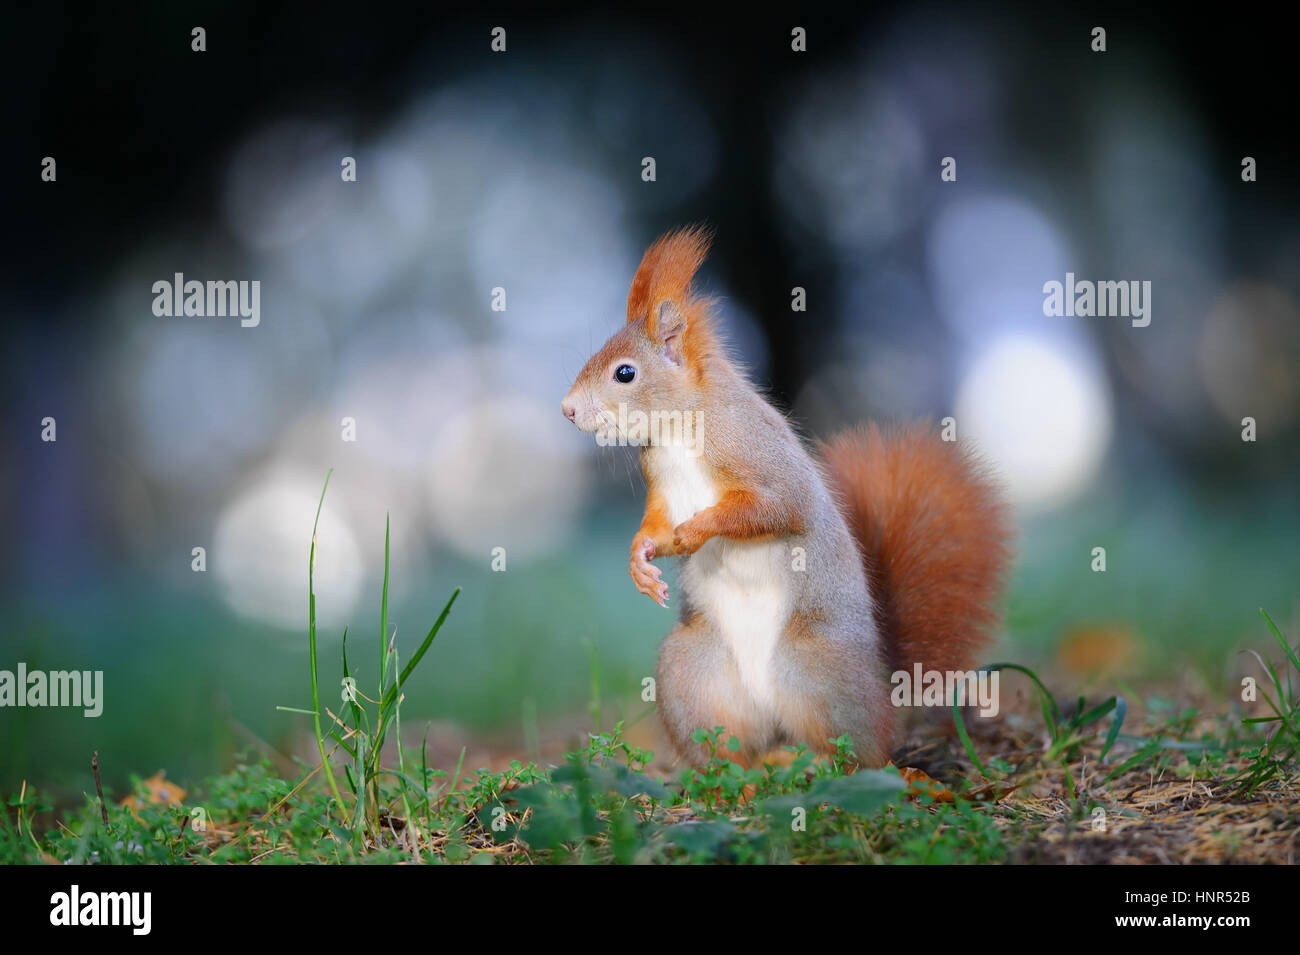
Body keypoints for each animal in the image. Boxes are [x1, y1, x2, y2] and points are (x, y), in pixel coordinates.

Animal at [560, 226, 1011, 768]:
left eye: (624, 373)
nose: (566, 409)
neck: (678, 427)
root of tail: (887, 693)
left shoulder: (758, 455)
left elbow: (774, 508)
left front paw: (696, 531)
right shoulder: (661, 485)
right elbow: (656, 524)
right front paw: (641, 561)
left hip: (811, 665)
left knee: (861, 754)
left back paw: (823, 763)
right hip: (690, 671)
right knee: (737, 748)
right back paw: (741, 772)